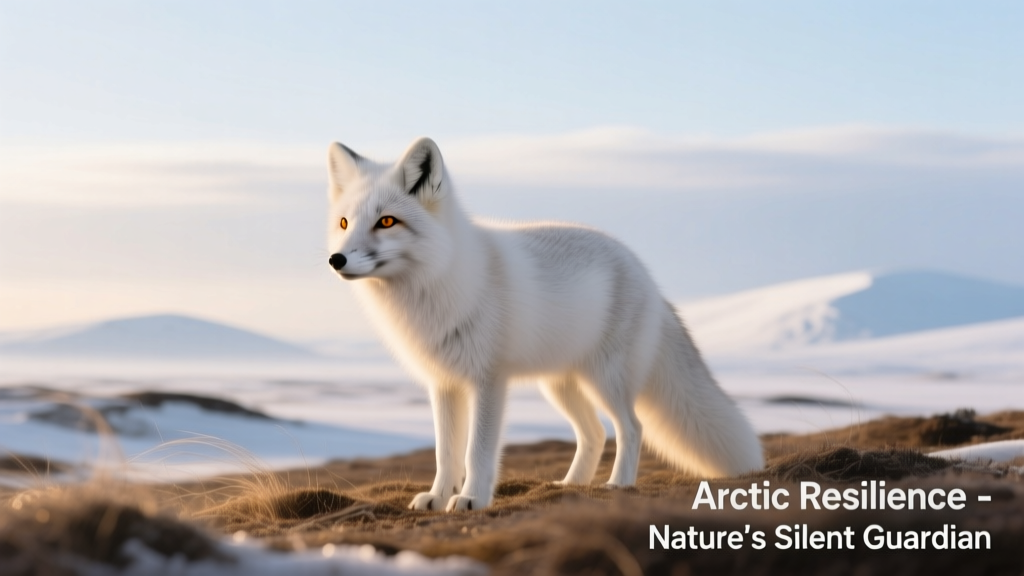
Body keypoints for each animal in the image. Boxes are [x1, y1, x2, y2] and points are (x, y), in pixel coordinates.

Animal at [326, 137, 764, 512]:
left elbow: (476, 451)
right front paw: (437, 497)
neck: (436, 283)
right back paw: (572, 485)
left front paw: (472, 499)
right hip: (560, 385)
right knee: (594, 433)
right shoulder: (444, 383)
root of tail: (649, 278)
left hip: (606, 380)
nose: (336, 259)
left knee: (631, 428)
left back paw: (618, 484)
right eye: (344, 223)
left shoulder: (489, 380)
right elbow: (445, 452)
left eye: (386, 222)